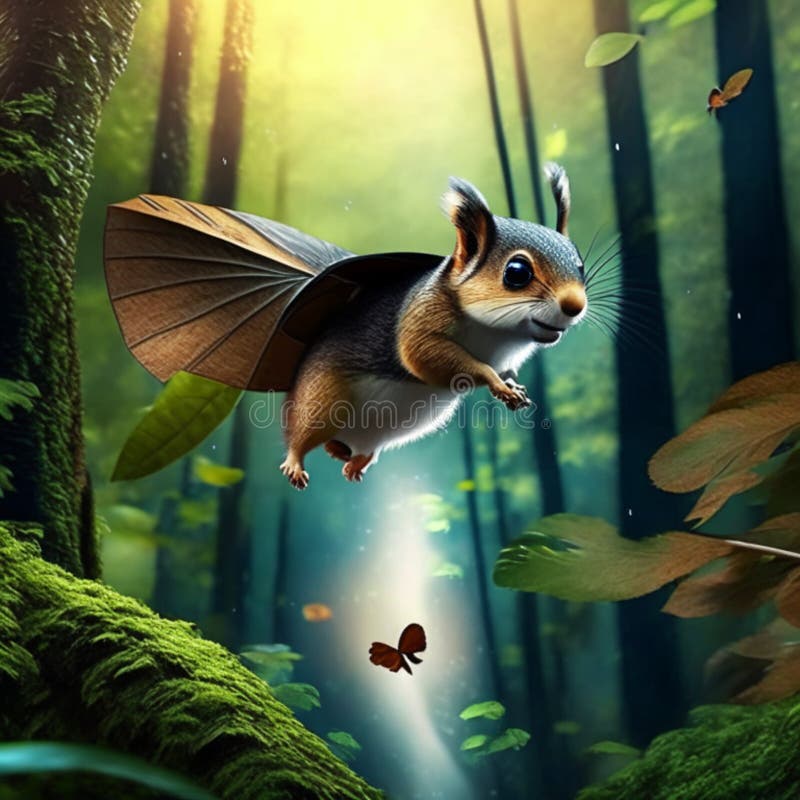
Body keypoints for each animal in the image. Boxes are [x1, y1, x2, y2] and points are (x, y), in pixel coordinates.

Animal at [279, 164, 586, 489]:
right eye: (517, 272)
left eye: (580, 264)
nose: (575, 305)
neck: (499, 337)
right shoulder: (422, 318)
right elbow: (424, 355)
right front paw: (499, 385)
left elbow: (504, 370)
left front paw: (511, 386)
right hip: (321, 400)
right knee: (302, 434)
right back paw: (295, 461)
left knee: (363, 451)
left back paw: (356, 463)